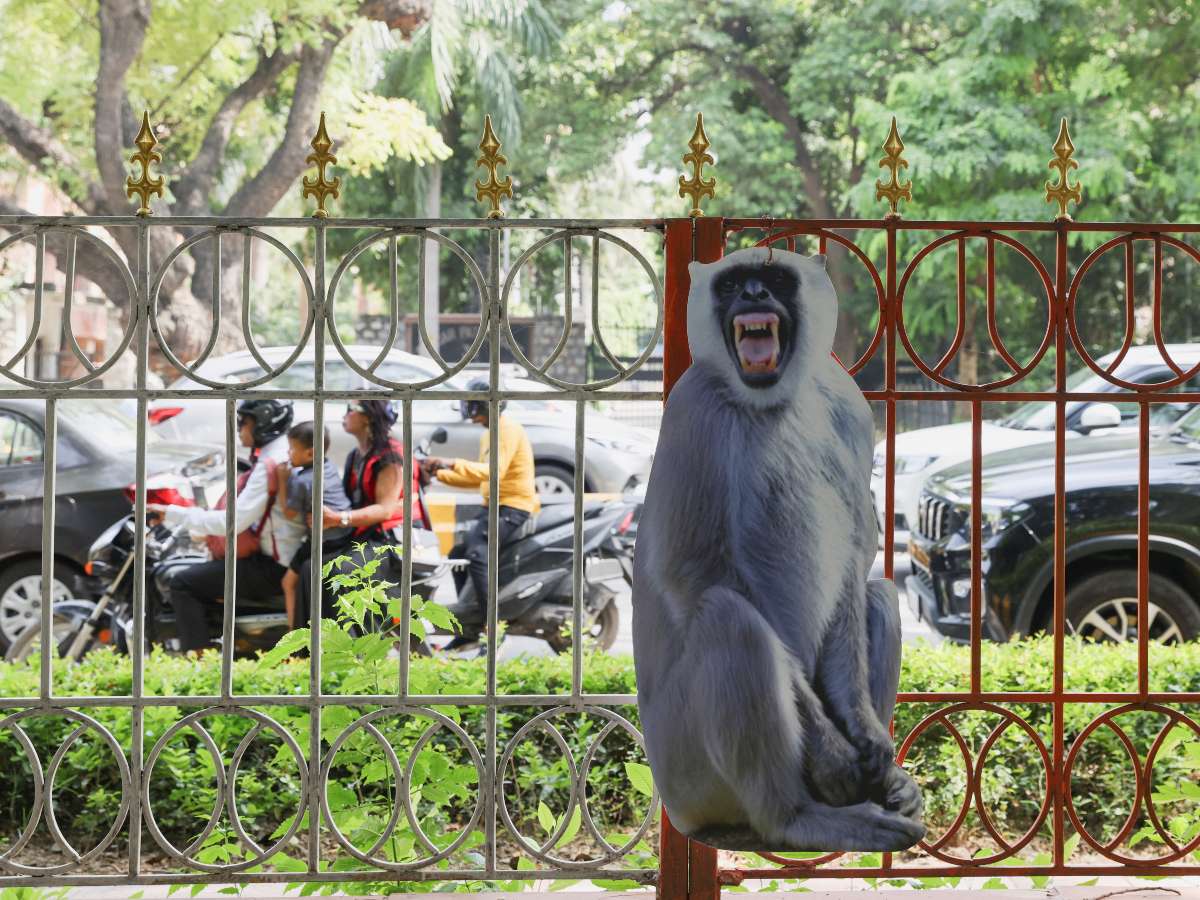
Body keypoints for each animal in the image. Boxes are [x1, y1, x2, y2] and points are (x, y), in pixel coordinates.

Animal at [631, 246, 925, 852]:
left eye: (773, 279)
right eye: (734, 283)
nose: (753, 296)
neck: (769, 401)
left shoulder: (848, 405)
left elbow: (854, 559)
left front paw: (865, 734)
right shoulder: (693, 408)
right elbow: (691, 573)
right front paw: (835, 753)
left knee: (880, 595)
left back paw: (884, 785)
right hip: (686, 770)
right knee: (729, 617)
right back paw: (797, 817)